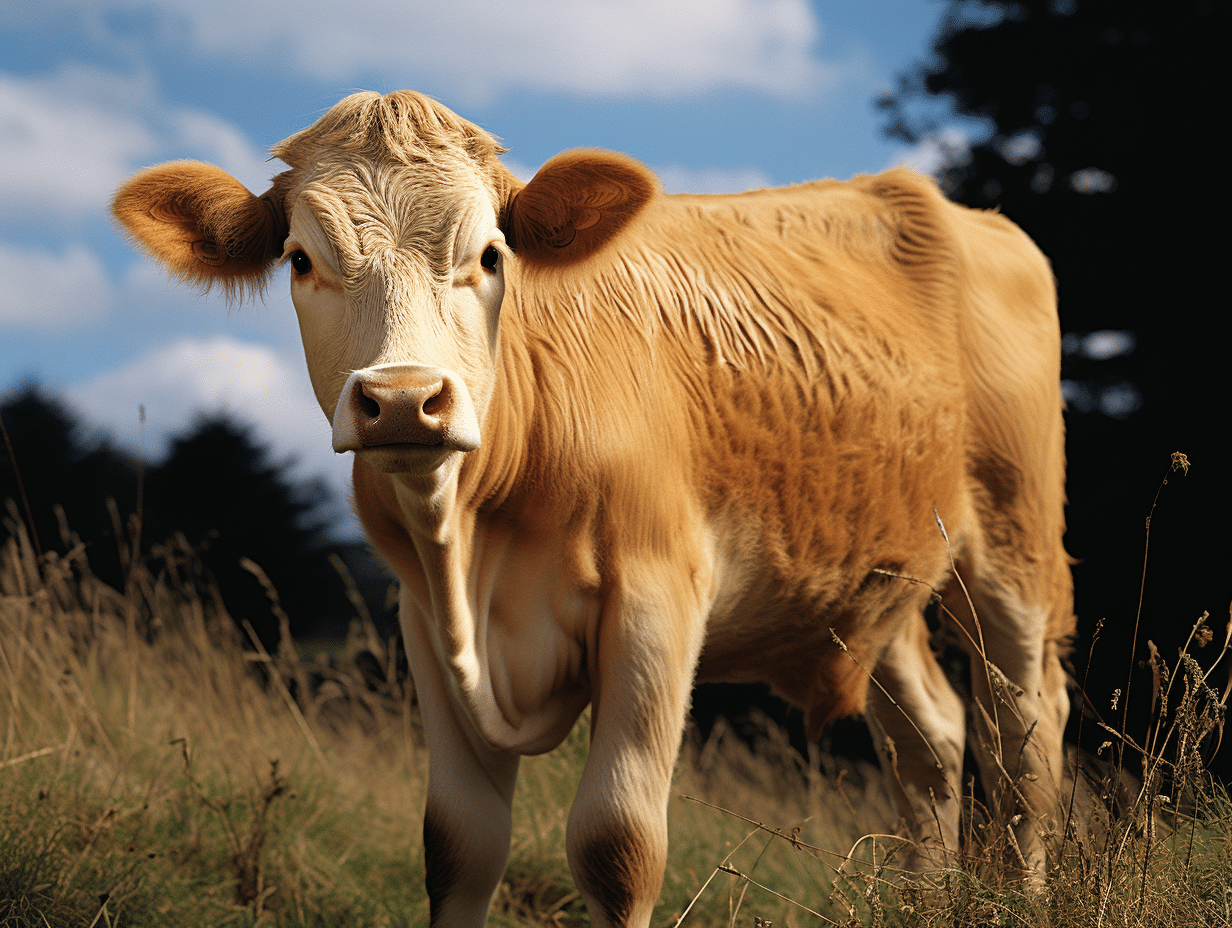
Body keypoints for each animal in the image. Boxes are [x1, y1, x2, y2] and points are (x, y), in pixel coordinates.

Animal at [113, 89, 1074, 926]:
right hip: (871, 583)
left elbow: (618, 846)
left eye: (491, 256)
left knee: (1023, 734)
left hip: (1013, 546)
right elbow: (457, 846)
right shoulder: (422, 619)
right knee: (932, 740)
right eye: (301, 260)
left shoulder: (657, 599)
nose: (405, 400)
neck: (474, 538)